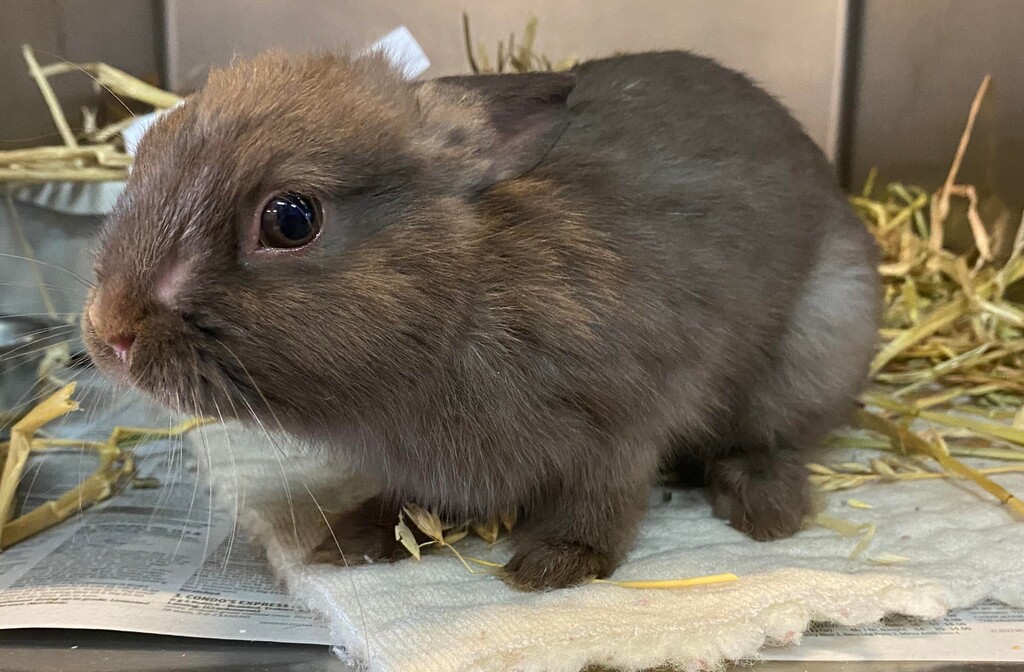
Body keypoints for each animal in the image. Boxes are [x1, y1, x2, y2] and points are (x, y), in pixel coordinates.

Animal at [82, 48, 881, 591]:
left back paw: (766, 511)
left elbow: (605, 500)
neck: (460, 295)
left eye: (291, 219)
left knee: (774, 437)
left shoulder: (626, 420)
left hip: (819, 338)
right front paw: (349, 540)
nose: (110, 331)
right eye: (144, 155)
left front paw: (552, 566)